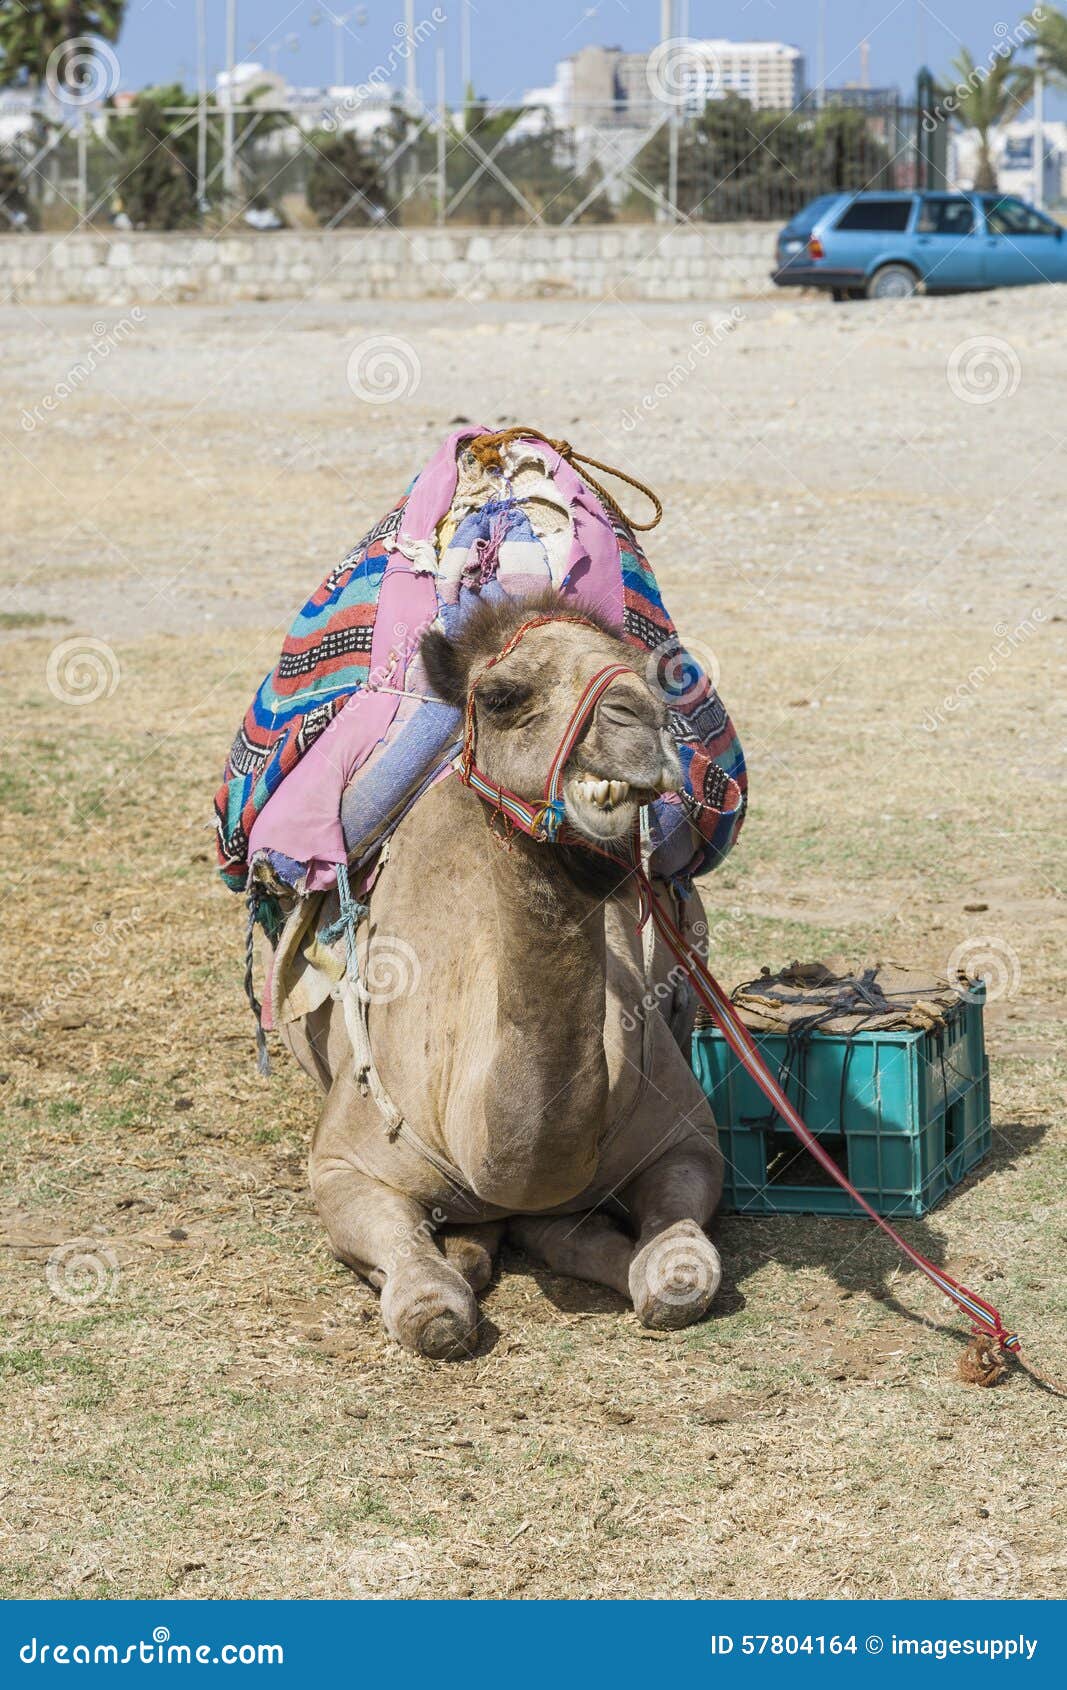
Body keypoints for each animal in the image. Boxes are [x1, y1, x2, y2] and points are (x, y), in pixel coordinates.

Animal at [282, 592, 724, 1359]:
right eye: (500, 696)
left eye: (652, 675)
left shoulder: (687, 1137)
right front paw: (443, 1283)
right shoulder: (344, 1160)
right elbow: (428, 1309)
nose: (636, 719)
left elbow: (680, 1271)